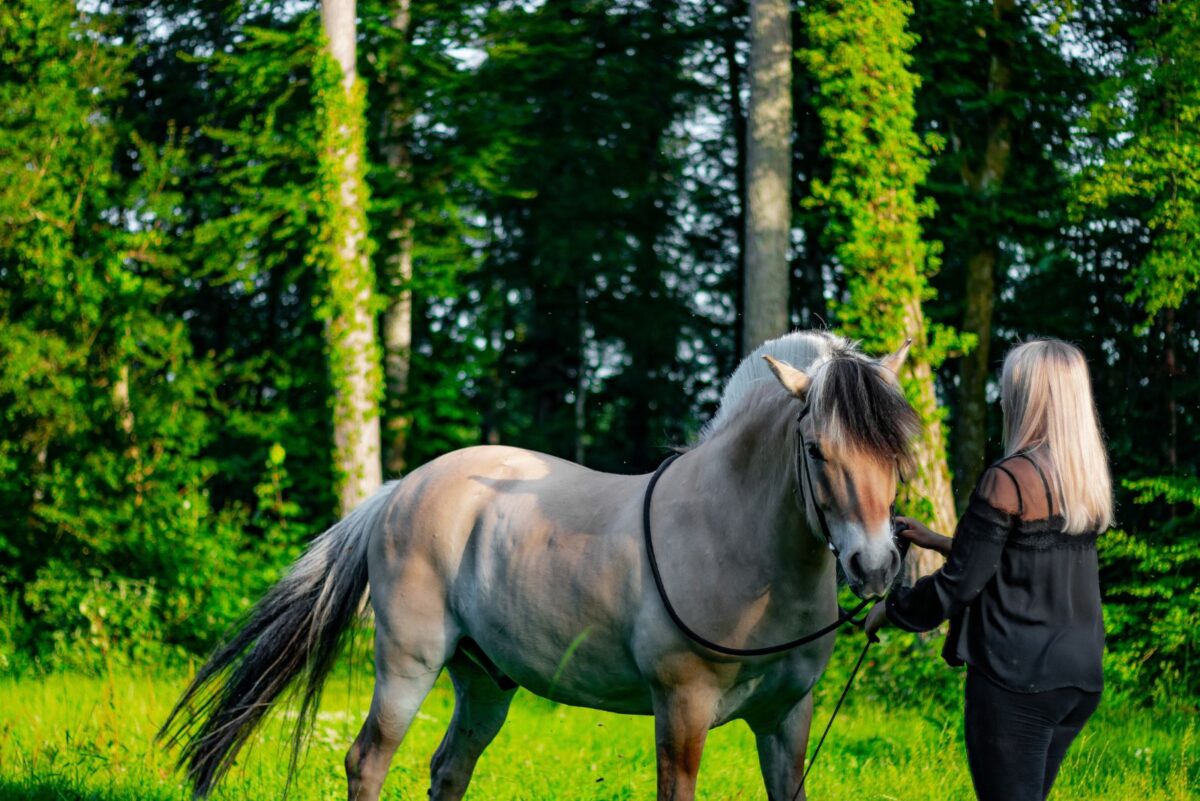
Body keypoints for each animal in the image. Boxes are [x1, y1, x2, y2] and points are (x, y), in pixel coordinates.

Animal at [161, 330, 920, 800]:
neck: (736, 543)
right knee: (367, 761)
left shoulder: (787, 718)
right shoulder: (681, 711)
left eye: (895, 448)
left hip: (484, 681)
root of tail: (399, 489)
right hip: (408, 665)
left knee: (449, 768)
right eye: (816, 448)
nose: (875, 565)